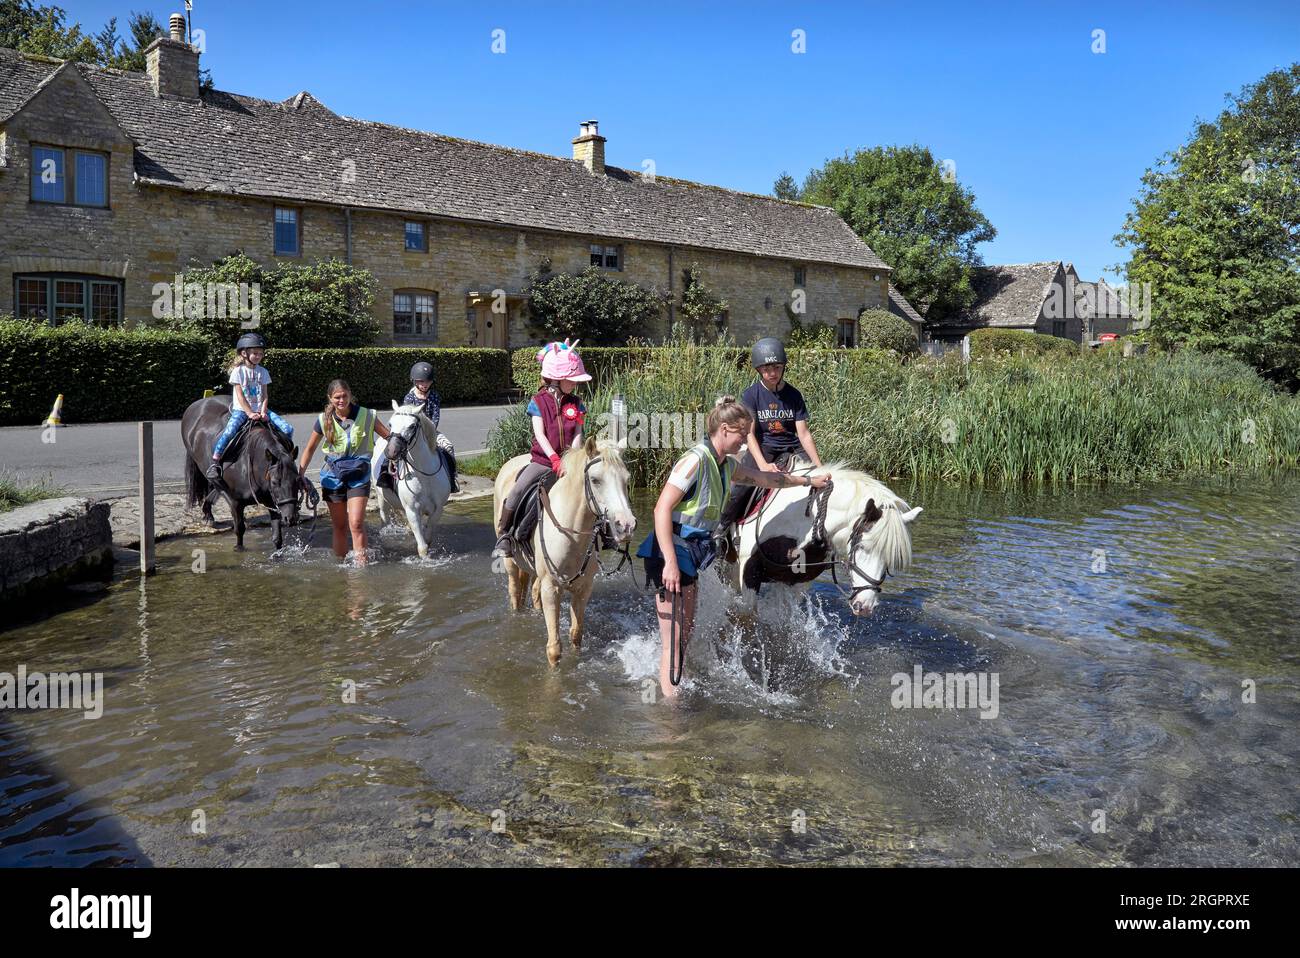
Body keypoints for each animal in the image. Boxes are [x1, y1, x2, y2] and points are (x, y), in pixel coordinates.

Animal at [182, 396, 303, 551]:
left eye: (297, 480)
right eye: (275, 482)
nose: (291, 518)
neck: (251, 465)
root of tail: (197, 404)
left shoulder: (272, 502)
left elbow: (277, 538)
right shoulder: (235, 501)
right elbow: (239, 529)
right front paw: (238, 549)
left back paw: (208, 513)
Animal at [371, 401, 453, 558]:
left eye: (412, 426)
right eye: (390, 424)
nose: (391, 452)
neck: (424, 475)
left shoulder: (438, 508)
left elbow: (428, 533)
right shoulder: (412, 510)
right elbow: (422, 546)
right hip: (381, 499)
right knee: (384, 519)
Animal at [492, 435, 636, 666]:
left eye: (626, 479)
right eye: (595, 480)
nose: (627, 526)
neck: (572, 533)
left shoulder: (583, 589)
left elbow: (576, 635)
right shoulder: (551, 588)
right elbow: (554, 649)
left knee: (533, 590)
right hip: (510, 562)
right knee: (514, 591)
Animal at [724, 460, 922, 616]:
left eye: (890, 559)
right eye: (863, 547)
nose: (865, 606)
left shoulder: (795, 581)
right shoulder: (749, 569)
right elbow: (748, 618)